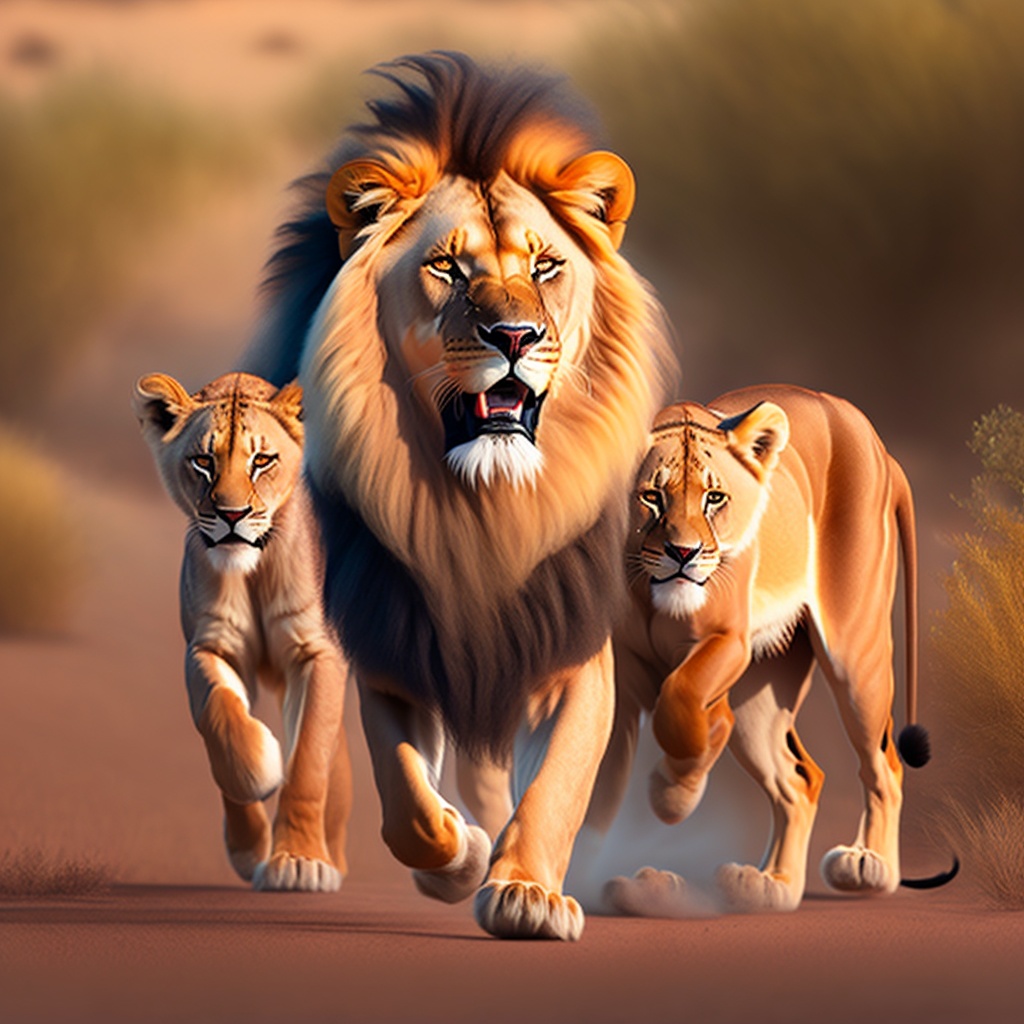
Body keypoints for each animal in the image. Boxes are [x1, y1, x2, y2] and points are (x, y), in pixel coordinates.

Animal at [133, 371, 352, 892]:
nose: (231, 516)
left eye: (262, 460)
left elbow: (310, 760)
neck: (254, 571)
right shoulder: (211, 646)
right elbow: (222, 724)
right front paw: (251, 834)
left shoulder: (319, 654)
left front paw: (300, 862)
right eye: (203, 461)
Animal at [241, 53, 674, 939]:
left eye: (545, 267)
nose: (516, 337)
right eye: (446, 267)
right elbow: (407, 799)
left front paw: (526, 890)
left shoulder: (571, 647)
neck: (483, 511)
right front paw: (462, 855)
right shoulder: (393, 643)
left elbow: (559, 782)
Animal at [584, 384, 954, 915]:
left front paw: (674, 794)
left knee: (884, 762)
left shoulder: (728, 640)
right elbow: (600, 780)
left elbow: (679, 699)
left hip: (855, 654)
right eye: (652, 496)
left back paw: (869, 865)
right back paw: (769, 884)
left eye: (715, 497)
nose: (684, 554)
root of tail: (877, 444)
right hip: (761, 689)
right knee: (799, 780)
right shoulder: (620, 670)